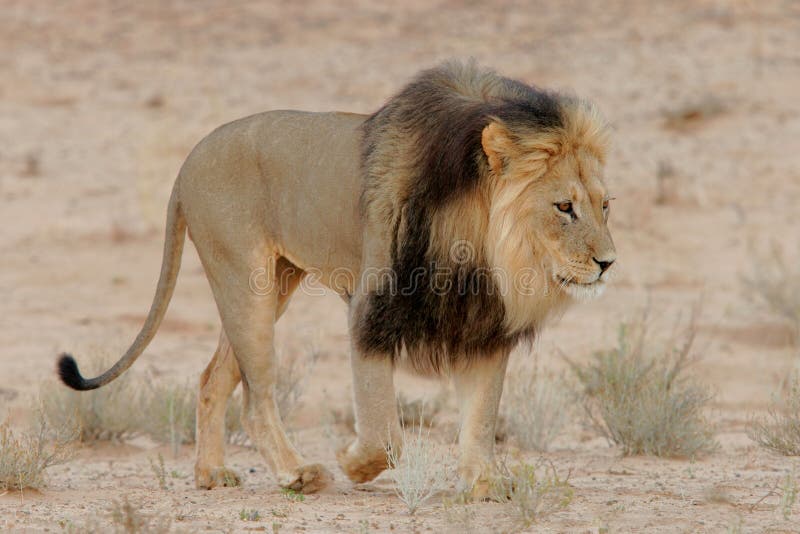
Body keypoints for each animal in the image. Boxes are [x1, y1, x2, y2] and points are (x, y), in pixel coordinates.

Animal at [57, 60, 616, 498]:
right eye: (564, 208)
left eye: (605, 205)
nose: (608, 262)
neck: (485, 253)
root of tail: (188, 160)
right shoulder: (371, 310)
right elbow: (384, 431)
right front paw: (355, 464)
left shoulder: (483, 326)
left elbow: (481, 417)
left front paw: (484, 482)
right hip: (244, 281)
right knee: (256, 398)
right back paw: (298, 473)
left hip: (275, 283)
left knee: (212, 378)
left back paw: (211, 473)